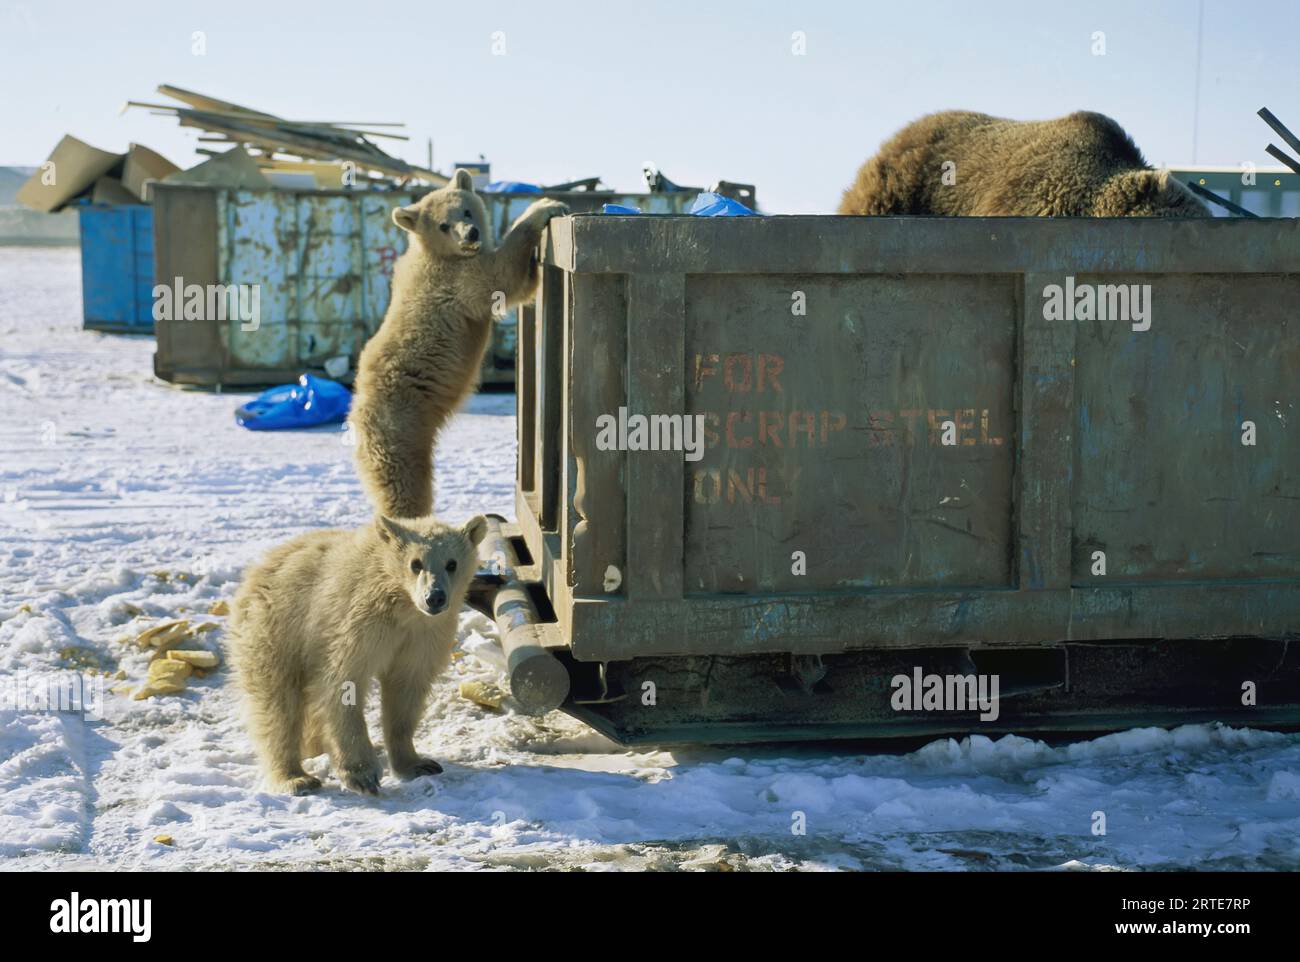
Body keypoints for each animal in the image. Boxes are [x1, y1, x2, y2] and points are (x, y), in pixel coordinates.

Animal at [229, 513, 487, 795]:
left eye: (452, 563)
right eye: (415, 563)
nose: (435, 597)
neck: (402, 605)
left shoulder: (424, 634)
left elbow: (405, 689)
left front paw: (418, 764)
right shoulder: (360, 623)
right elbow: (343, 683)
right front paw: (363, 775)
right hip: (276, 628)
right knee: (277, 702)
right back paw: (295, 778)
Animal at [351, 169, 568, 519]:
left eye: (465, 210)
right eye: (443, 224)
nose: (470, 233)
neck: (434, 252)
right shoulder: (455, 279)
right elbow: (499, 278)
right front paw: (543, 207)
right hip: (400, 423)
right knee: (404, 484)